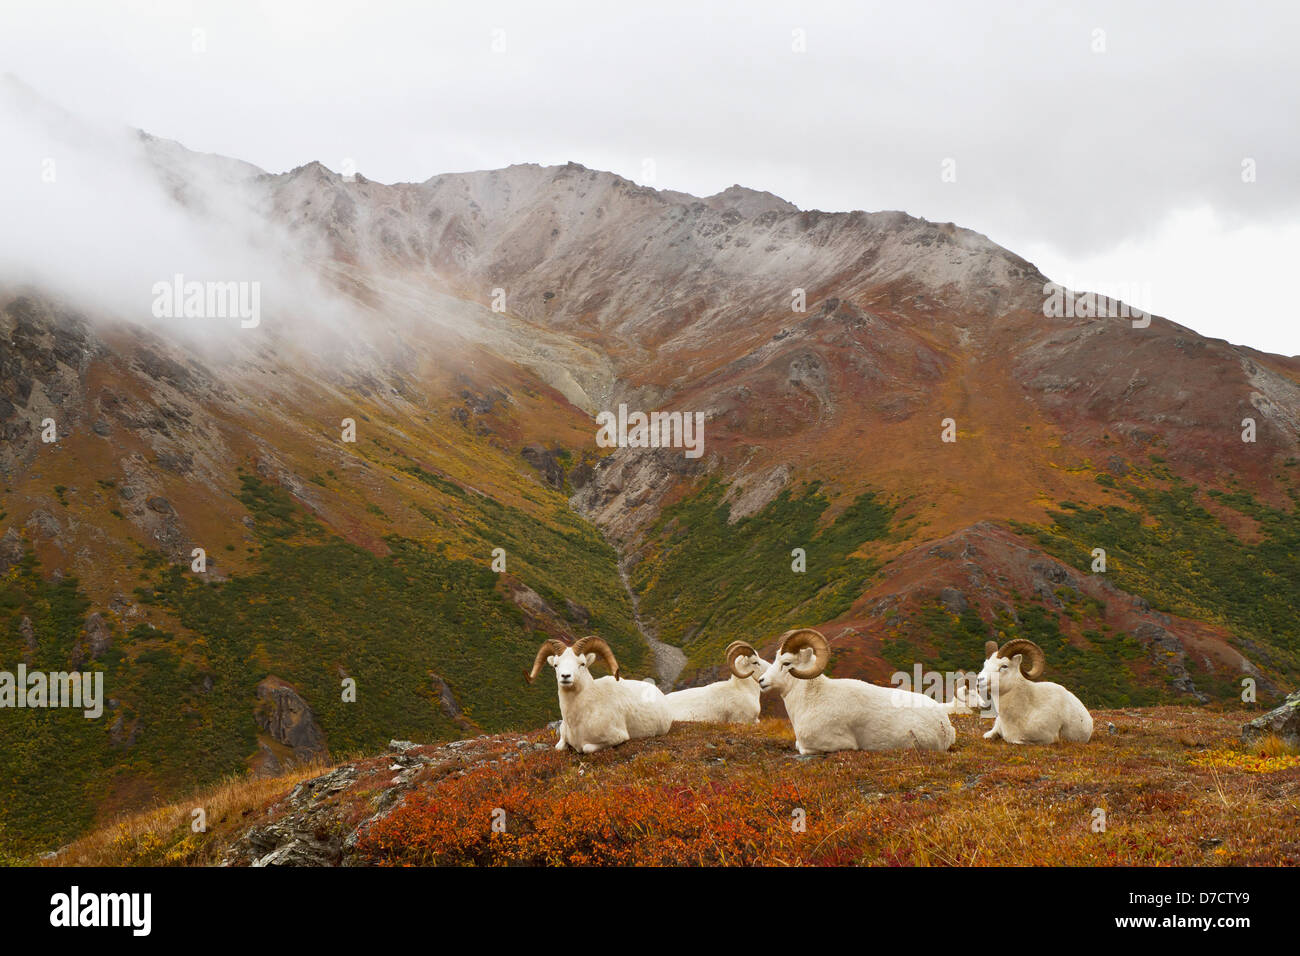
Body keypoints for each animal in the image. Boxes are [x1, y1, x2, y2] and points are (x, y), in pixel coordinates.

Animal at [525, 635, 672, 753]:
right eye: (555, 665)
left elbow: (586, 748)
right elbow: (559, 747)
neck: (577, 721)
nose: (565, 676)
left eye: (582, 664)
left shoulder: (617, 737)